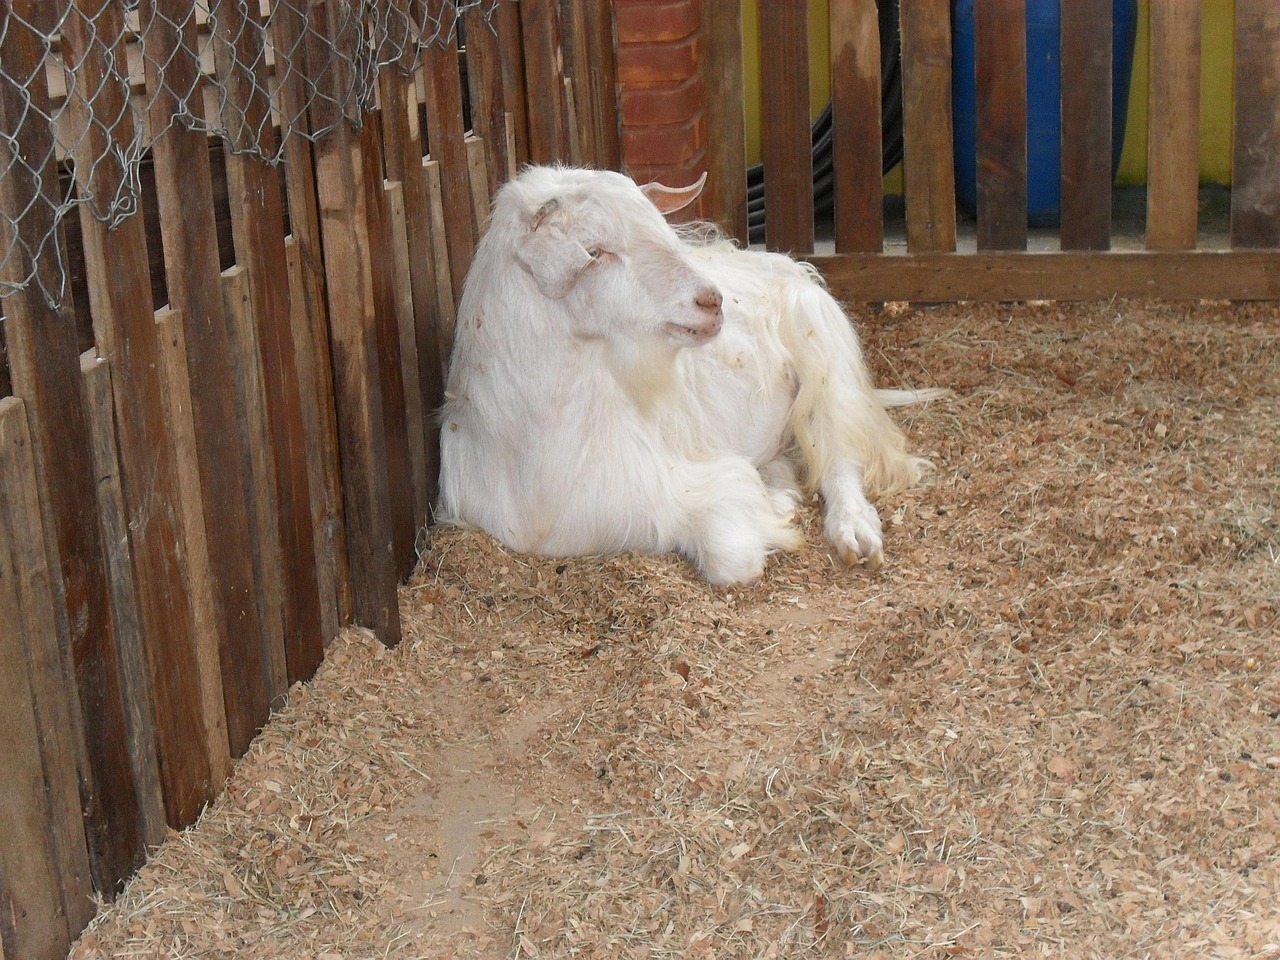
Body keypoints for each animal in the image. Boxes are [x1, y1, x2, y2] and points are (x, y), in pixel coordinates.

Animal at [437, 165, 944, 585]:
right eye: (594, 252)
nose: (711, 301)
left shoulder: (673, 488)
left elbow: (734, 560)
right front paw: (774, 500)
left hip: (824, 351)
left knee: (838, 453)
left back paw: (854, 529)